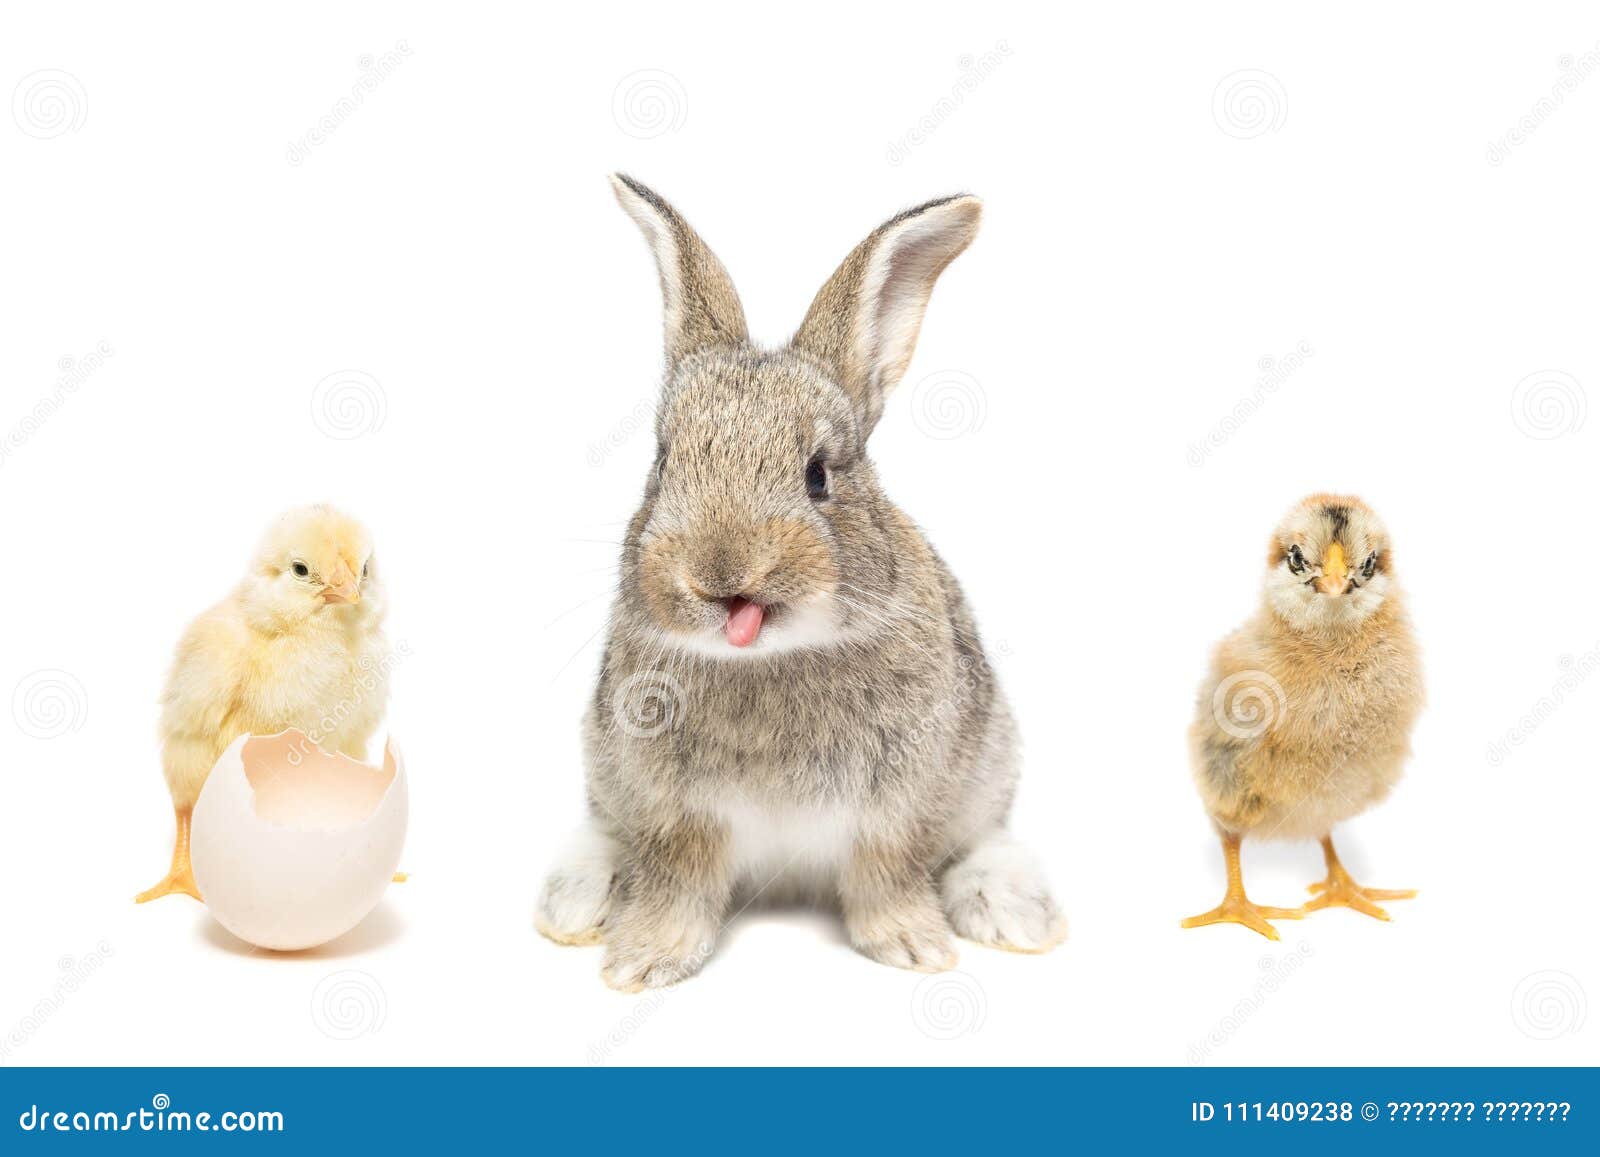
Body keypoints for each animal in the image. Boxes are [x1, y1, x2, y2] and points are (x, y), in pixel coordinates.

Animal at [535, 175, 1066, 990]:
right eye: (663, 462)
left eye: (818, 475)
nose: (720, 572)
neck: (769, 658)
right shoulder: (674, 813)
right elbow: (677, 881)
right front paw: (644, 961)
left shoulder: (899, 805)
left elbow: (887, 872)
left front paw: (914, 948)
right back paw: (578, 899)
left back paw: (1012, 910)